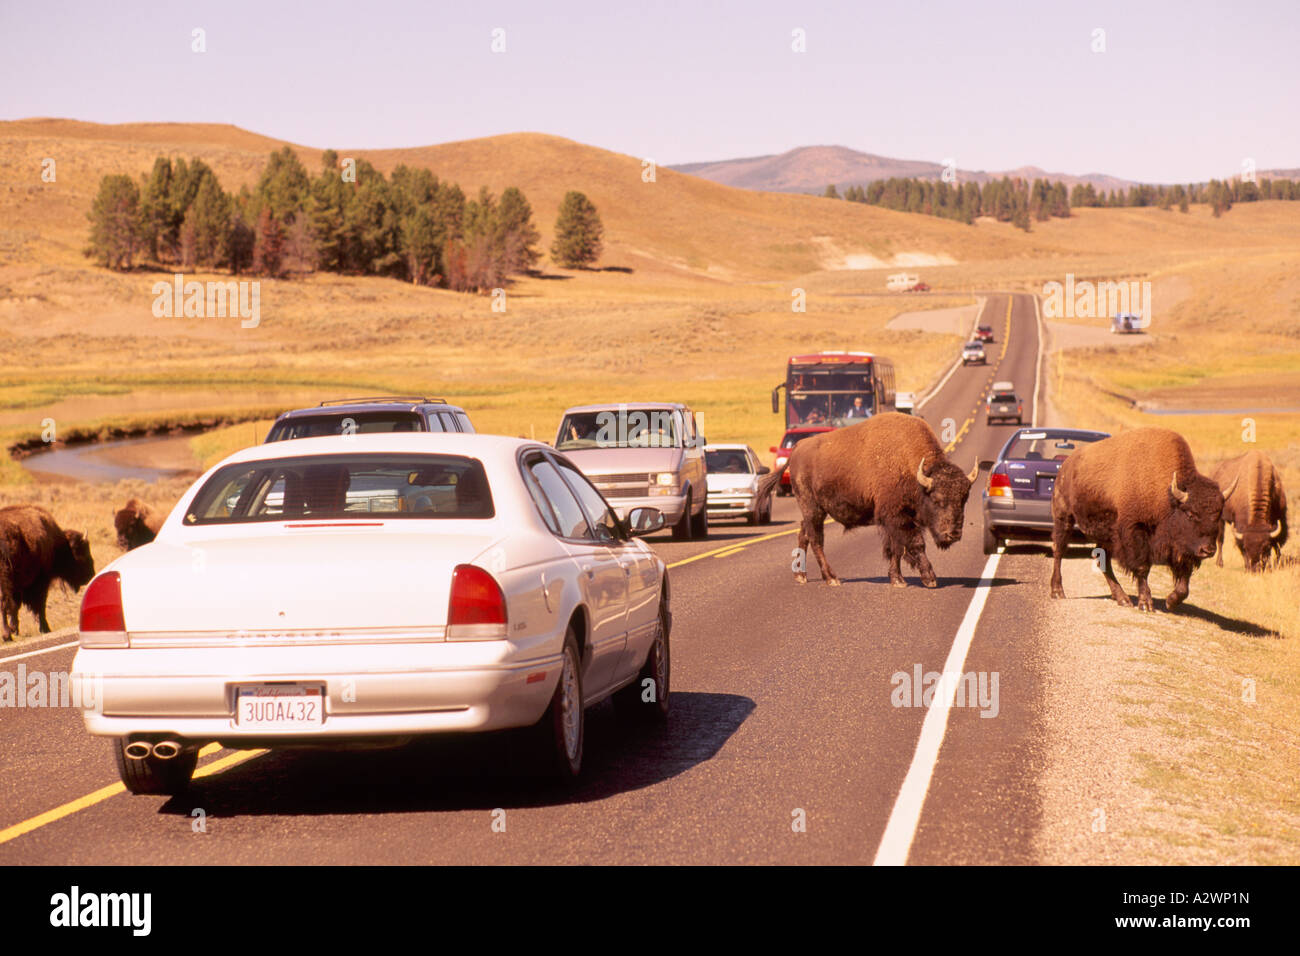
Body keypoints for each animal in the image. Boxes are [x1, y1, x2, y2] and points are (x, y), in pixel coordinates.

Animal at [0, 505, 96, 641]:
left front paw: (16, 629)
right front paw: (45, 628)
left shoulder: (18, 586)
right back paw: (6, 635)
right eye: (81, 551)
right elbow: (40, 604)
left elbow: (15, 607)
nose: (91, 574)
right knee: (3, 603)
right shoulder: (40, 581)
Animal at [756, 412, 978, 588]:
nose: (953, 534)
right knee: (816, 539)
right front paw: (929, 578)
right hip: (812, 508)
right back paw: (831, 578)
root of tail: (798, 448)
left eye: (964, 499)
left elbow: (896, 549)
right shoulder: (896, 517)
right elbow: (915, 544)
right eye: (937, 500)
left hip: (814, 510)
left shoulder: (896, 519)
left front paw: (897, 579)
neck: (909, 466)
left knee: (804, 534)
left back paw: (801, 576)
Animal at [1049, 428, 1233, 611]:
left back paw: (1122, 598)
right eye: (1190, 514)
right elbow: (1143, 568)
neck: (1167, 495)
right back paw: (1057, 591)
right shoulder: (1136, 535)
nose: (1208, 550)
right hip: (1064, 518)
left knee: (1103, 562)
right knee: (1059, 550)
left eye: (1217, 515)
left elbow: (1184, 580)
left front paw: (1171, 601)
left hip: (1105, 535)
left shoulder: (1182, 549)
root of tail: (1066, 465)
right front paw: (1146, 604)